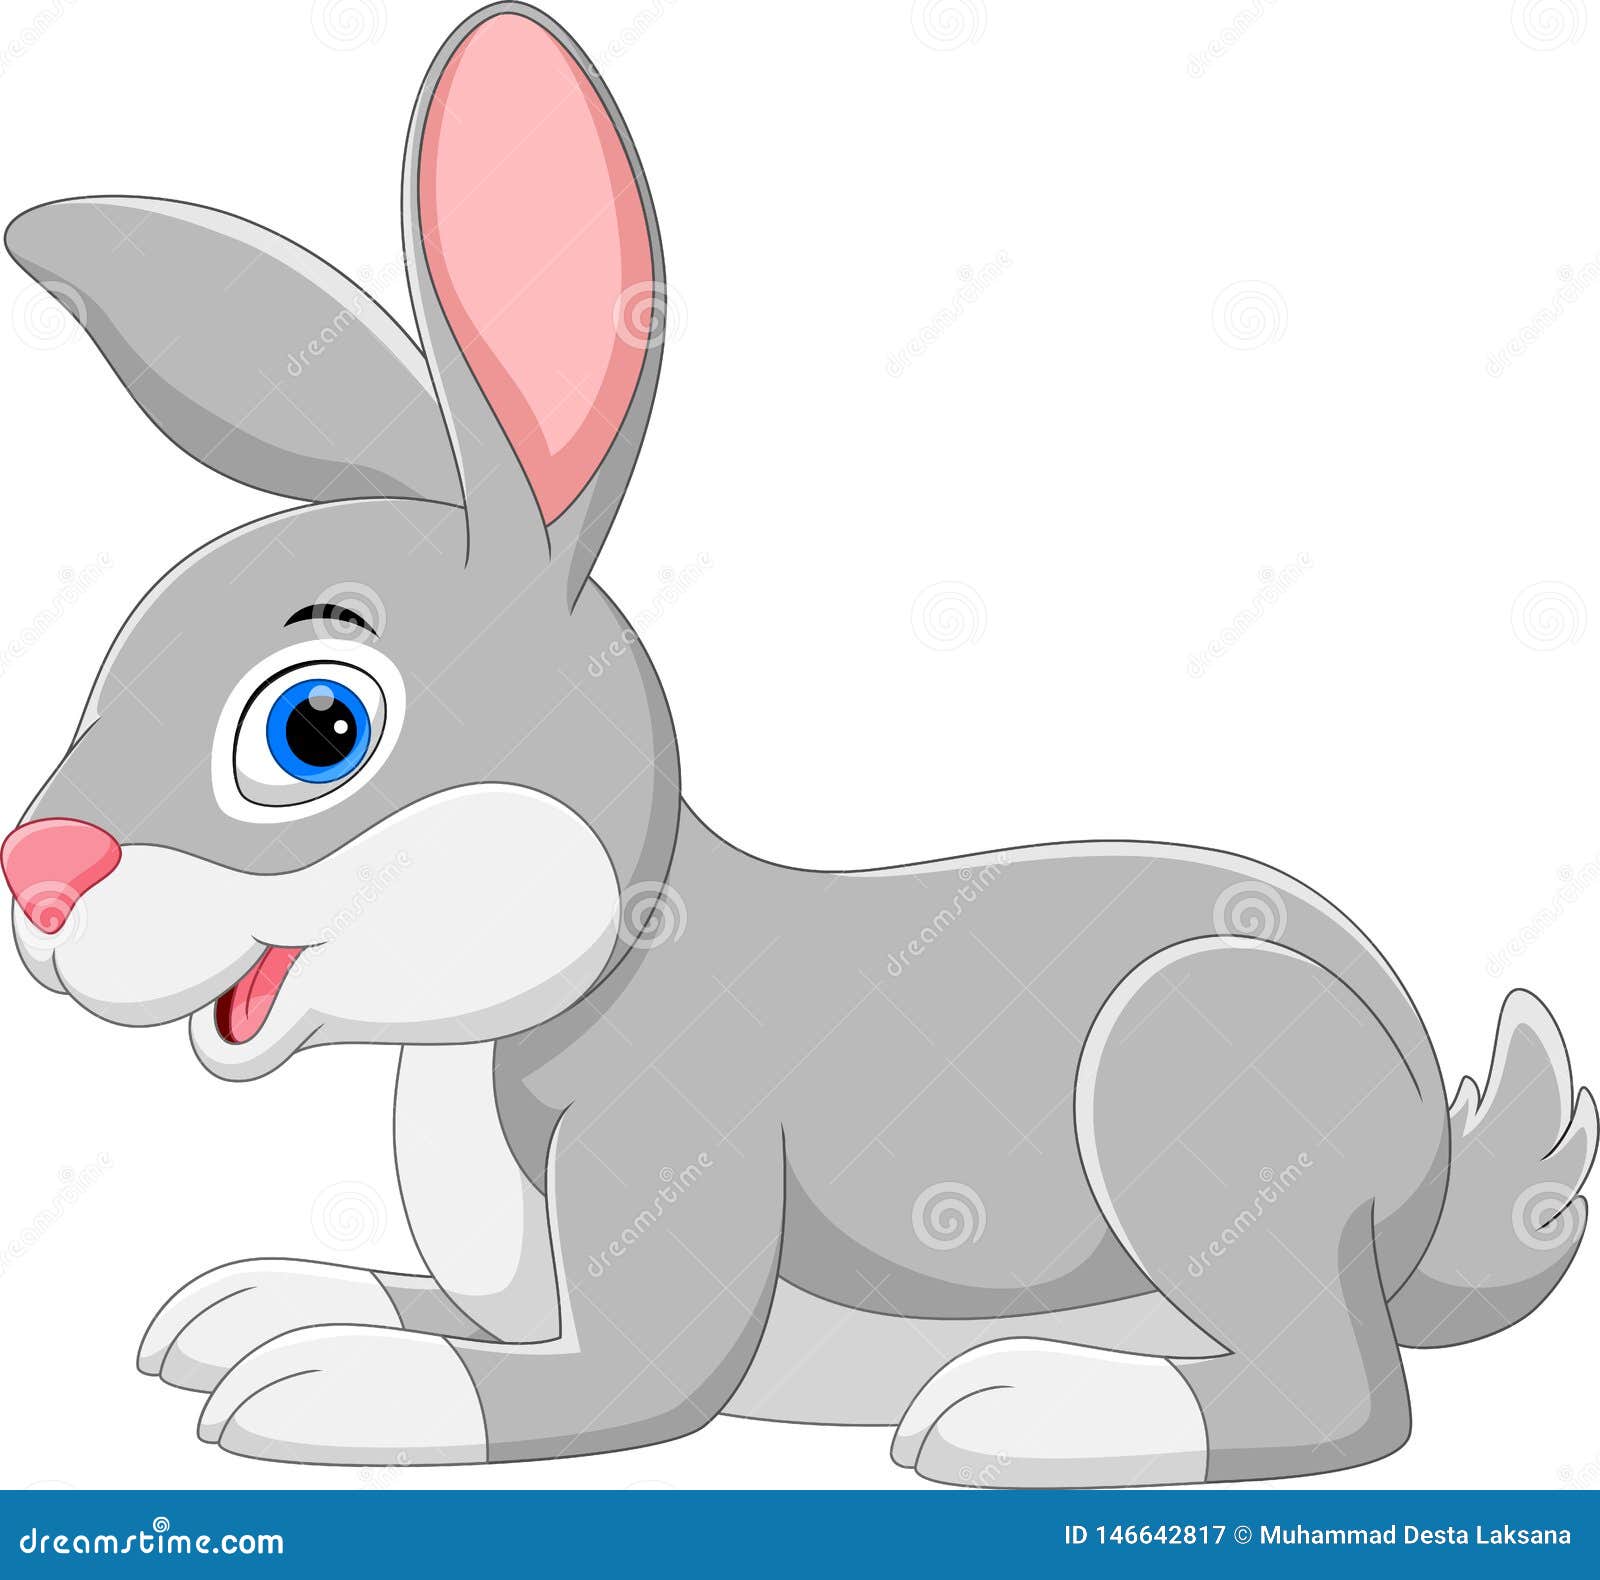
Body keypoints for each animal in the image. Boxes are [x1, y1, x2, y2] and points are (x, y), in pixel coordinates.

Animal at [3, 3, 1594, 1484]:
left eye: (315, 727)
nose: (40, 878)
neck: (596, 962)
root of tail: (1426, 1193)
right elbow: (410, 1300)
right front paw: (253, 1302)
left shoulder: (667, 1190)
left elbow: (603, 1383)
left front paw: (330, 1376)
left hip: (1191, 1062)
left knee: (1342, 1394)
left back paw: (1040, 1409)